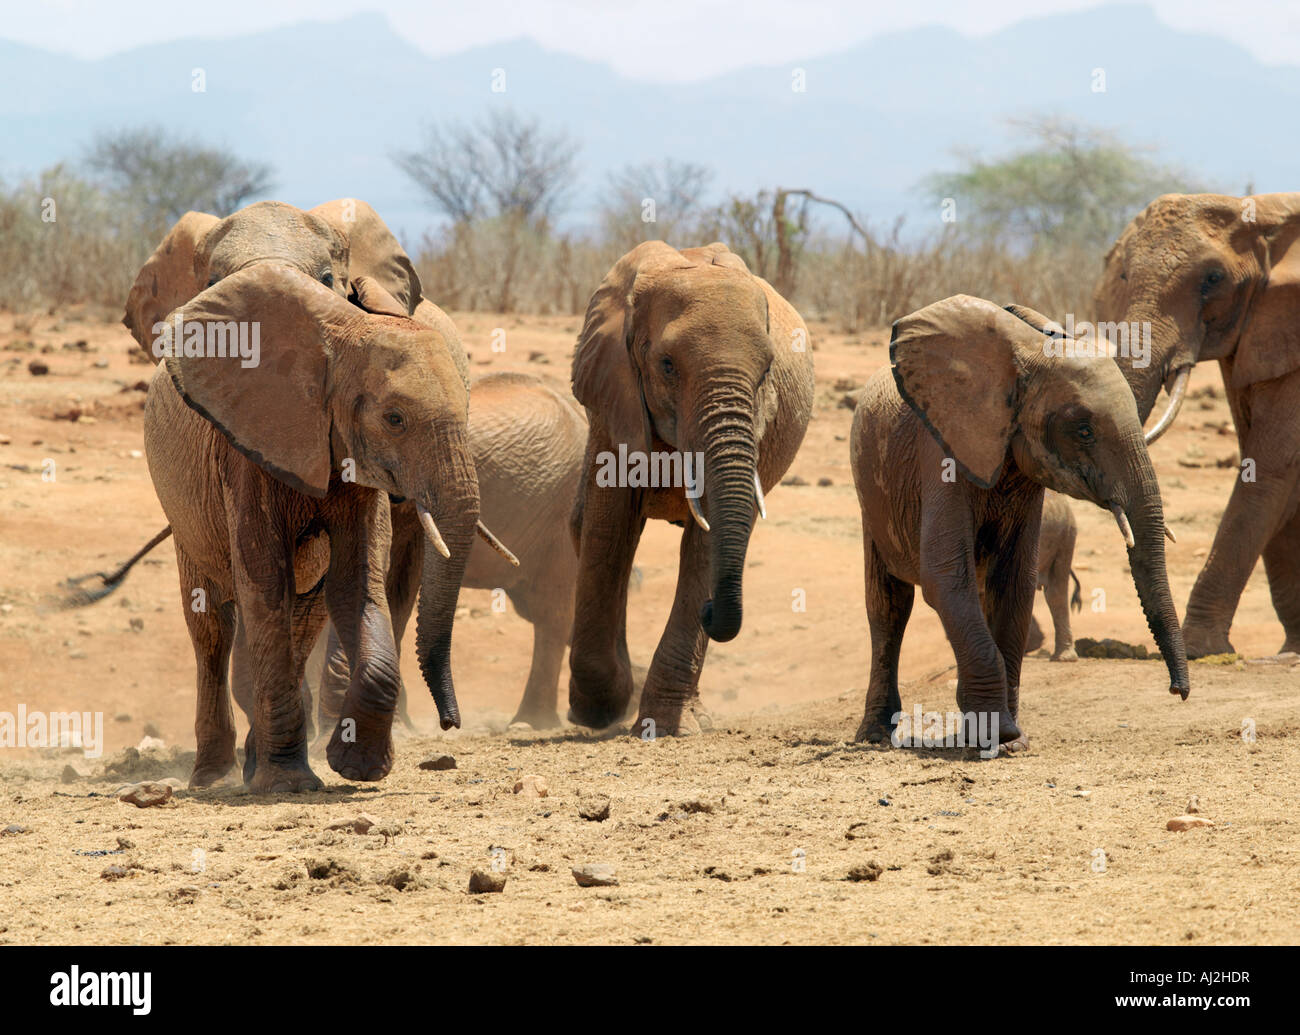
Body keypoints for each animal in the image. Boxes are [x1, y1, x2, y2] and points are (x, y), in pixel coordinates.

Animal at [138, 264, 478, 791]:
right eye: (394, 419)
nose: (449, 724)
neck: (344, 339)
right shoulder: (246, 450)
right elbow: (263, 582)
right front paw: (288, 785)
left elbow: (356, 585)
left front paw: (356, 767)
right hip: (184, 515)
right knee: (212, 627)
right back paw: (213, 777)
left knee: (304, 619)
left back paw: (252, 763)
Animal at [566, 241, 815, 736]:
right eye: (666, 366)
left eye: (767, 371)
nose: (711, 610)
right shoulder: (612, 393)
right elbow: (609, 528)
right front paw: (600, 710)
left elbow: (703, 547)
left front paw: (666, 726)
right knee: (586, 525)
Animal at [850, 295, 1189, 750]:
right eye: (1083, 430)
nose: (1178, 691)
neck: (1026, 357)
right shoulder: (941, 449)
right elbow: (946, 577)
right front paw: (997, 733)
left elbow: (1015, 582)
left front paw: (1007, 738)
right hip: (871, 497)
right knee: (888, 606)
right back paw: (872, 736)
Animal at [1095, 192, 1300, 659]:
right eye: (1124, 275)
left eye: (1213, 278)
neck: (1264, 213)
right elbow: (1264, 464)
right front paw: (1293, 650)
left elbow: (1272, 467)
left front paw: (1198, 649)